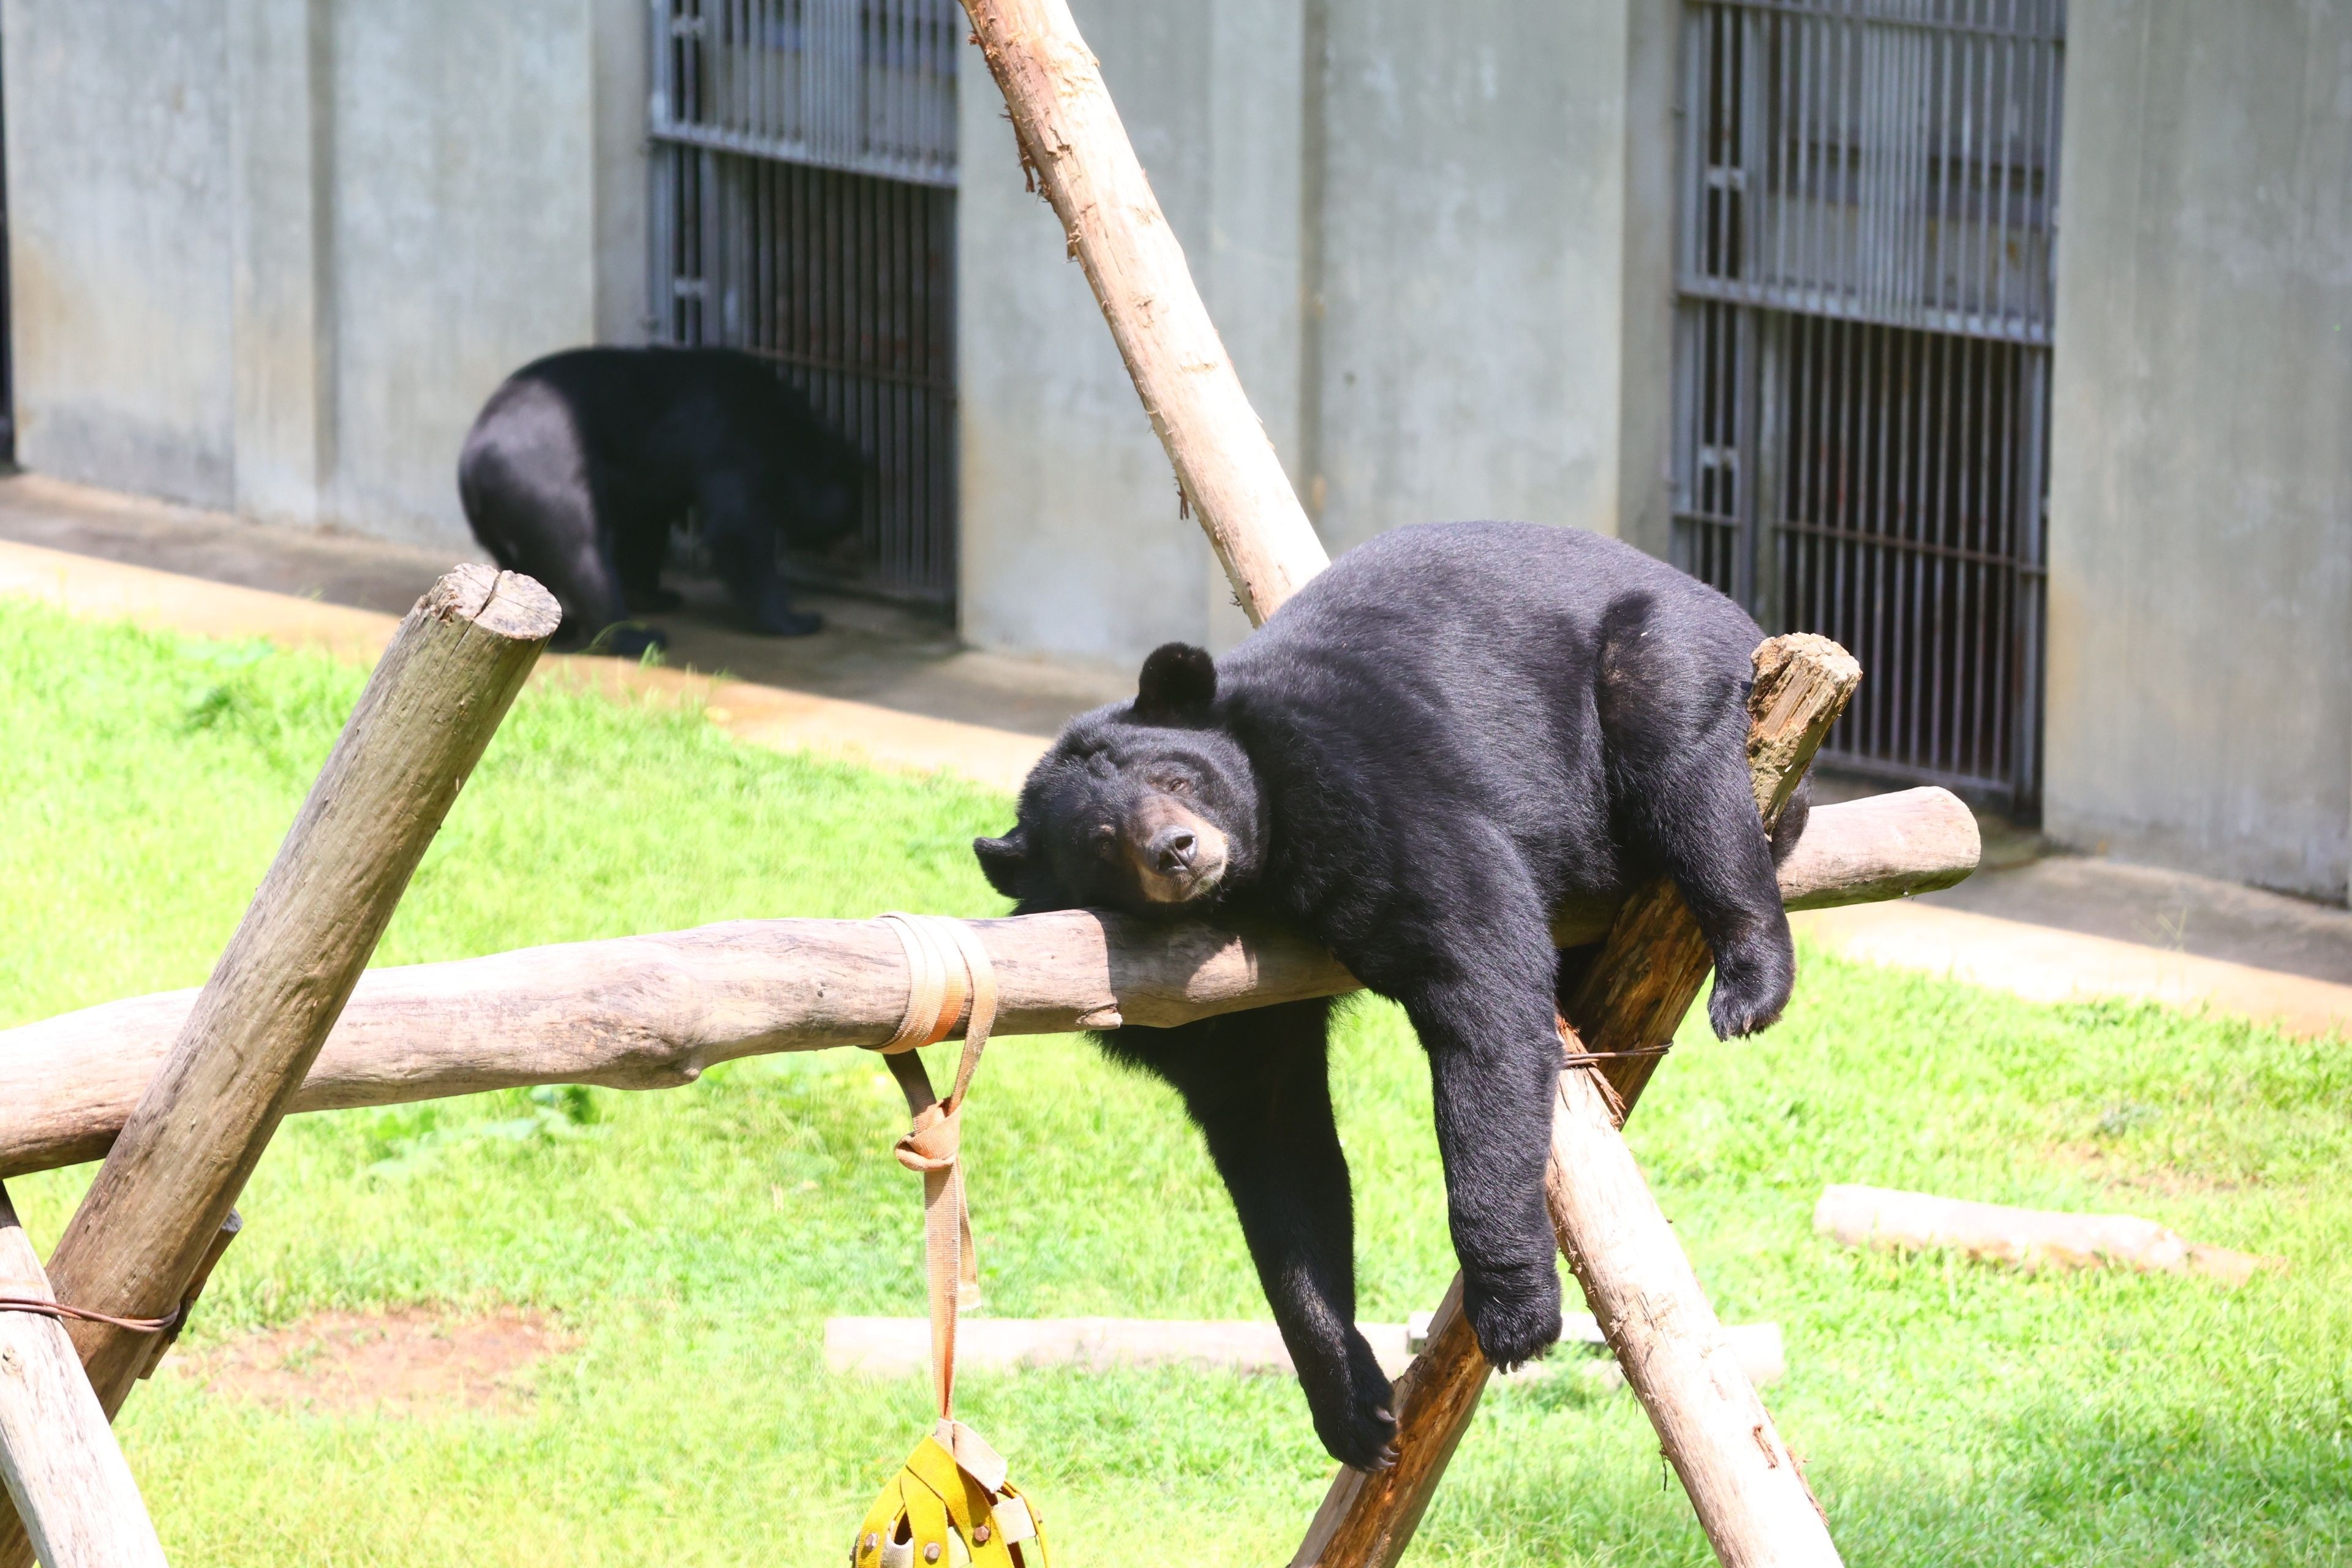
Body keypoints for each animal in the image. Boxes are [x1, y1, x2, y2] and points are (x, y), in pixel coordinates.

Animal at [457, 346, 866, 655]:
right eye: (853, 514)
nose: (855, 548)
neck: (790, 432)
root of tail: (472, 467)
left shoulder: (650, 478)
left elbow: (647, 526)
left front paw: (659, 596)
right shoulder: (734, 443)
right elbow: (738, 529)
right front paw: (798, 620)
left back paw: (571, 626)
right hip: (545, 478)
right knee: (580, 553)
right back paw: (637, 637)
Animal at [972, 520, 1807, 1472]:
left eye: (1178, 782)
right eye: (1102, 839)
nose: (1180, 851)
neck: (1249, 891)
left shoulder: (1363, 794)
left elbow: (1477, 988)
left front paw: (1514, 1315)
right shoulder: (1214, 1008)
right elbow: (1276, 1145)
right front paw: (1356, 1412)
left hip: (1678, 661)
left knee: (1692, 782)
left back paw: (1748, 983)